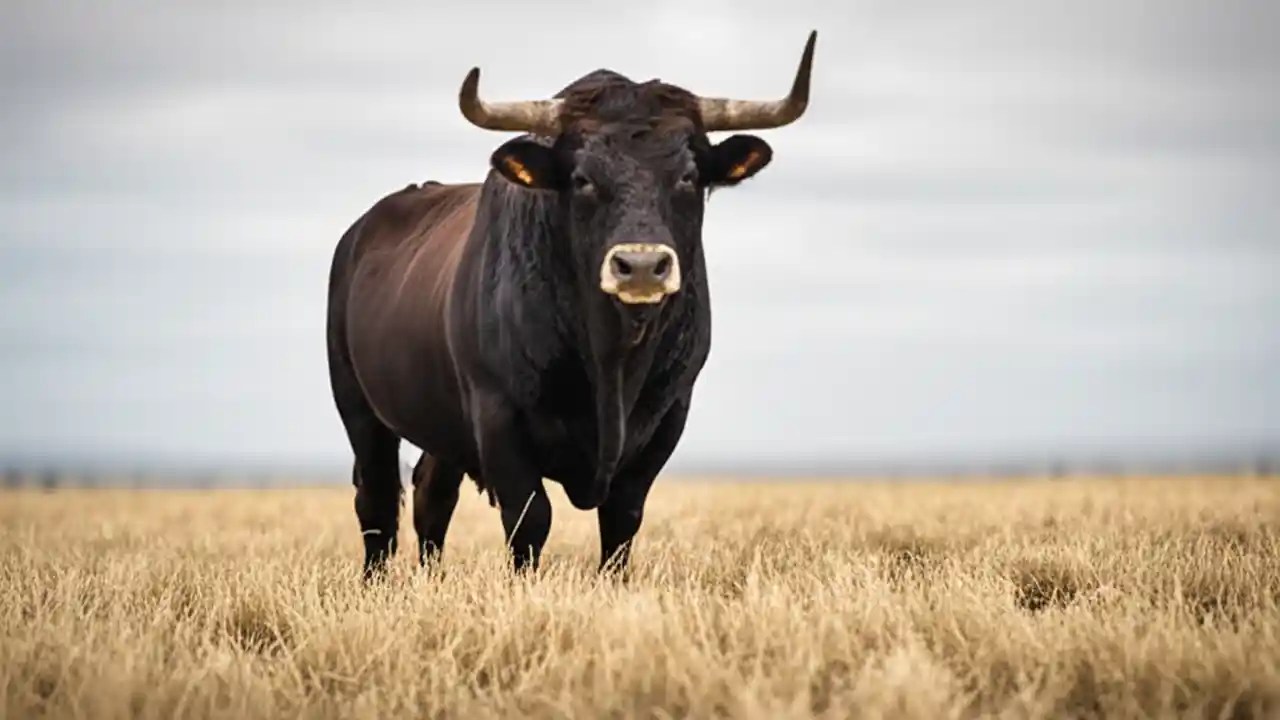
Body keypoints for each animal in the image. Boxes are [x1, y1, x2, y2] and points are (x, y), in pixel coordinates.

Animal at [326, 32, 817, 578]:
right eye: (582, 178)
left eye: (689, 176)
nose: (641, 265)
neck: (610, 357)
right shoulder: (497, 416)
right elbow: (530, 518)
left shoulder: (668, 418)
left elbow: (622, 519)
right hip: (358, 405)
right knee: (377, 498)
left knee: (433, 494)